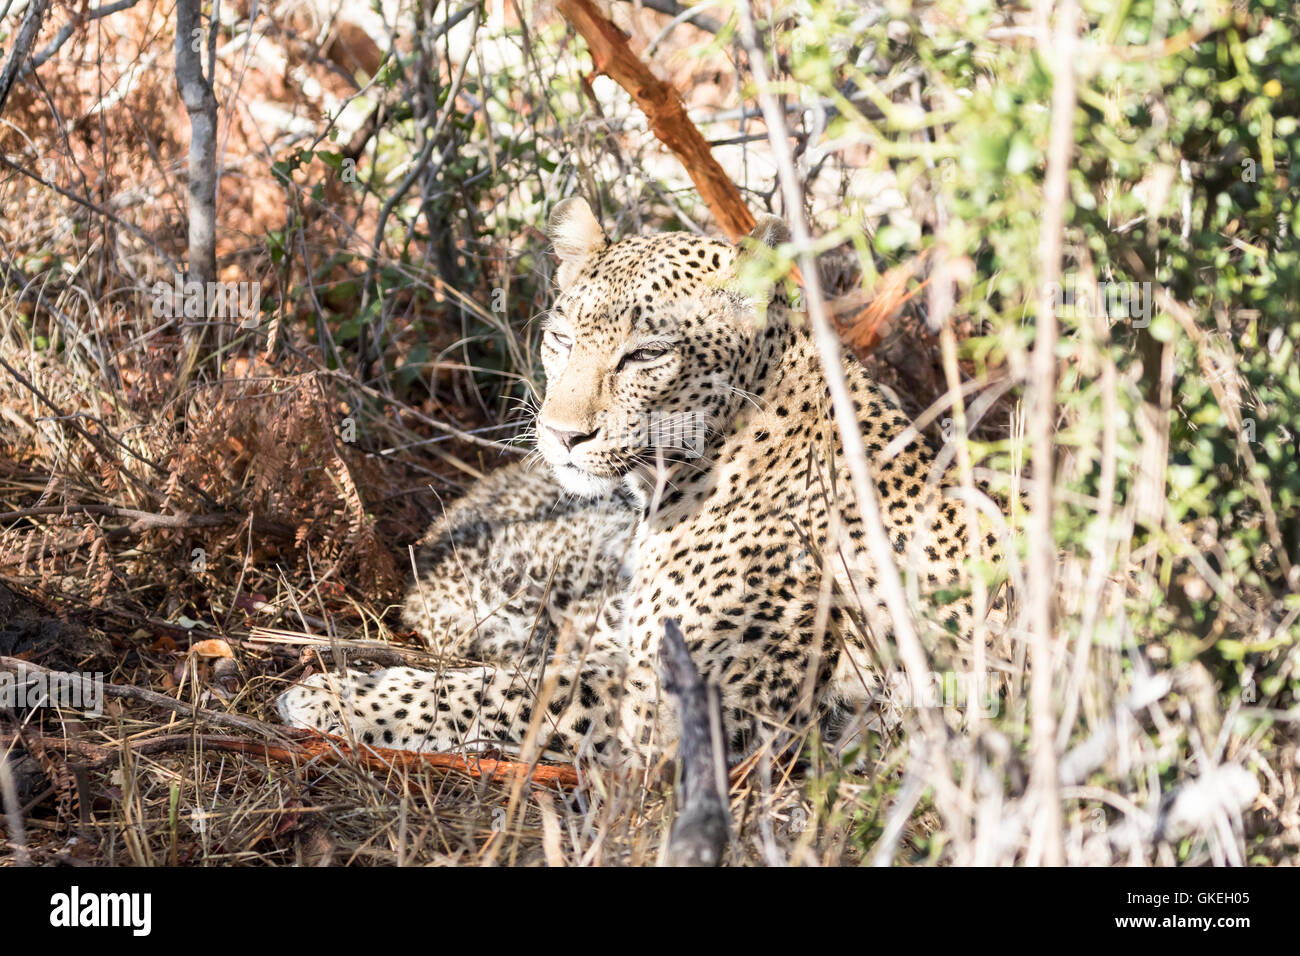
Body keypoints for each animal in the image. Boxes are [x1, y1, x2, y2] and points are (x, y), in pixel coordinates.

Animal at [277, 197, 1003, 766]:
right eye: (561, 339)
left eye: (647, 354)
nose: (561, 434)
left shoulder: (681, 709)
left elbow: (513, 692)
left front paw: (331, 695)